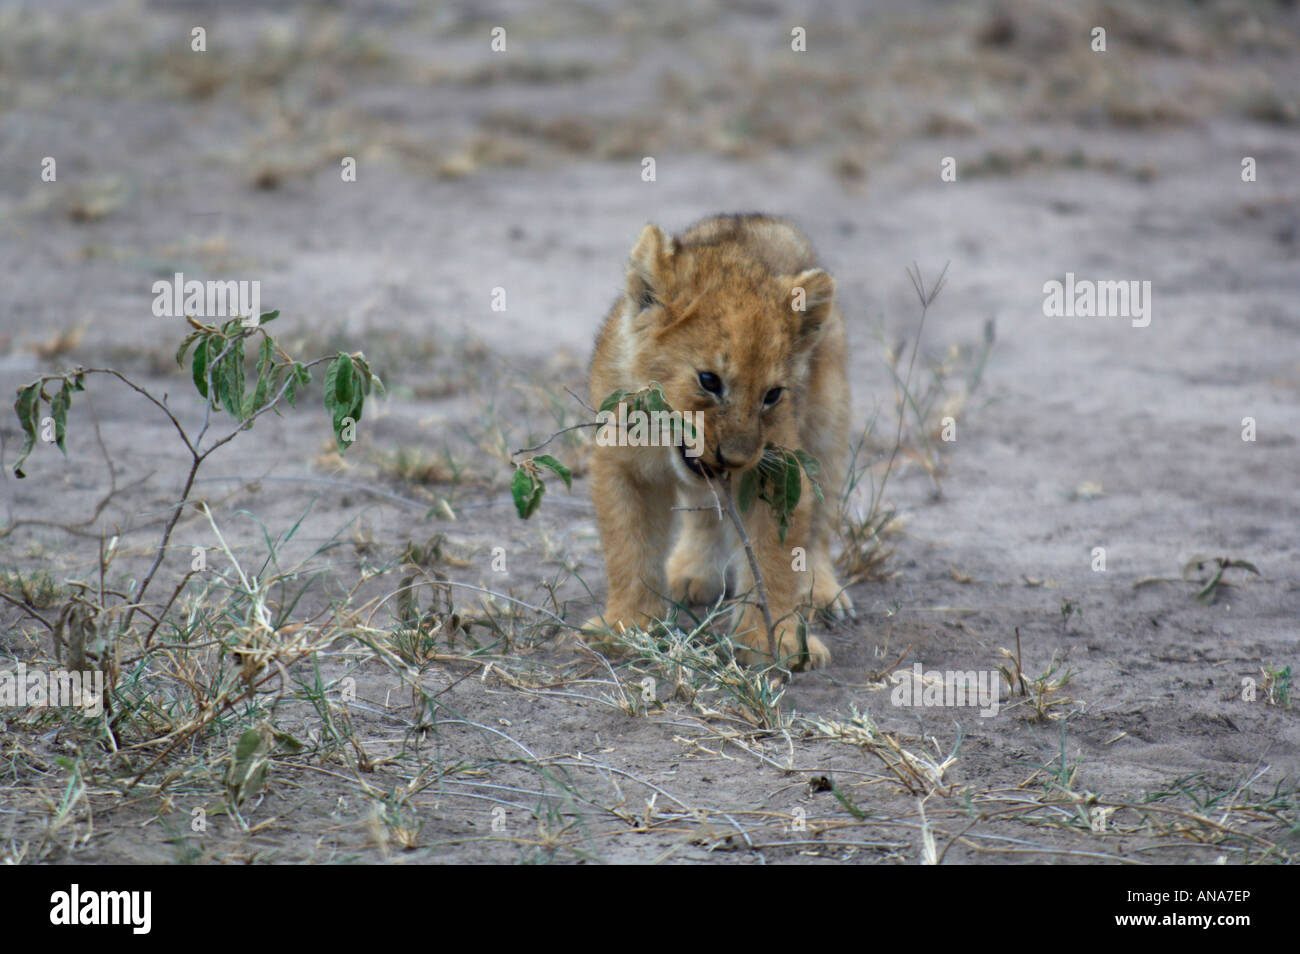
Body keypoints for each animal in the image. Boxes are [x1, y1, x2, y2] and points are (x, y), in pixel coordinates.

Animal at [584, 214, 853, 670]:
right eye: (709, 380)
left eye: (772, 395)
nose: (736, 459)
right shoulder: (621, 465)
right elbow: (629, 549)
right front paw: (627, 626)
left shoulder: (779, 470)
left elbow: (773, 560)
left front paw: (776, 641)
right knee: (704, 513)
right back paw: (692, 573)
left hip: (828, 427)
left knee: (818, 525)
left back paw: (819, 593)